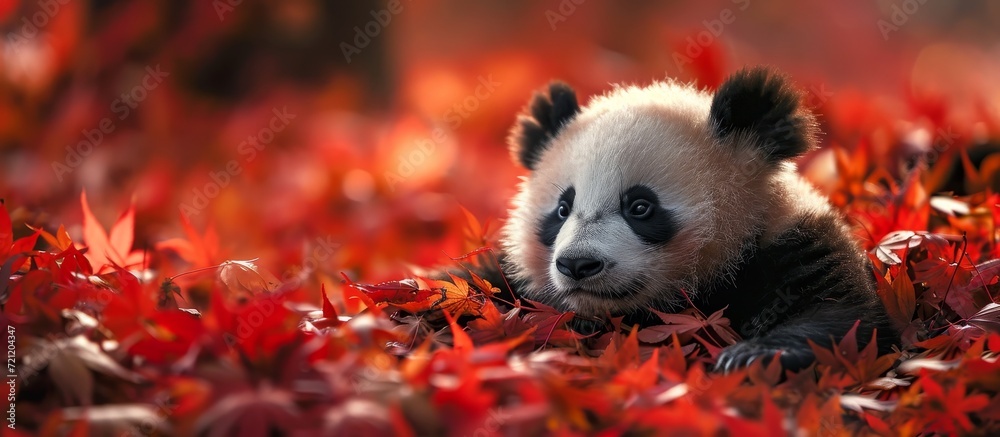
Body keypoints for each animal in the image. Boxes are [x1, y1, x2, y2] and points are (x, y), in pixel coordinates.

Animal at [498, 67, 897, 371]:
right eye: (562, 209)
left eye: (640, 207)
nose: (578, 264)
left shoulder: (789, 244)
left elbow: (841, 316)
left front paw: (750, 356)